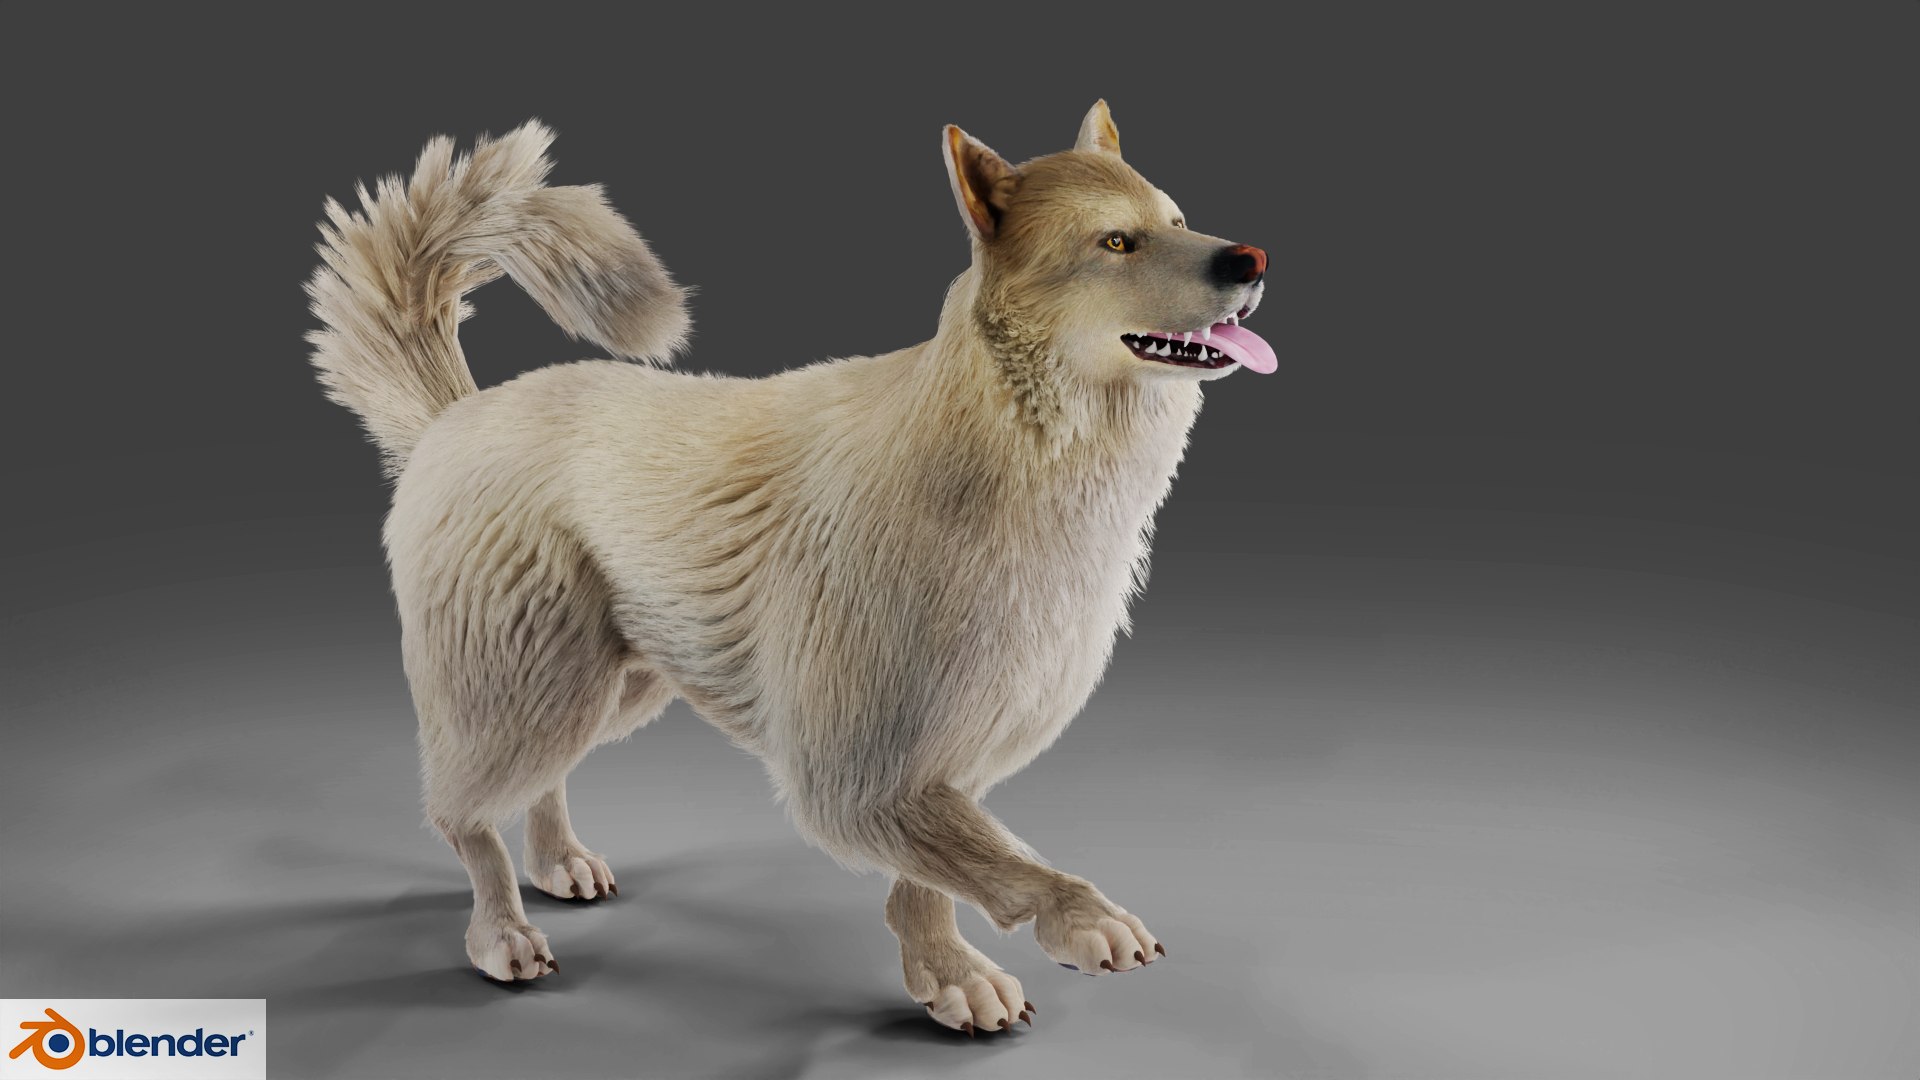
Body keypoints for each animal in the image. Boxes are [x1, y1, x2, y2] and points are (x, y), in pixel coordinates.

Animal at [305, 100, 1271, 1034]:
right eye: (1116, 242)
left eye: (1176, 220)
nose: (1250, 258)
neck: (1002, 451)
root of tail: (456, 416)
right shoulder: (854, 775)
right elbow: (1002, 861)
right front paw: (1079, 918)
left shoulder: (935, 761)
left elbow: (934, 881)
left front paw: (945, 976)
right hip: (523, 688)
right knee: (462, 815)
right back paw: (502, 929)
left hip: (612, 685)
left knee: (543, 780)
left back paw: (560, 860)